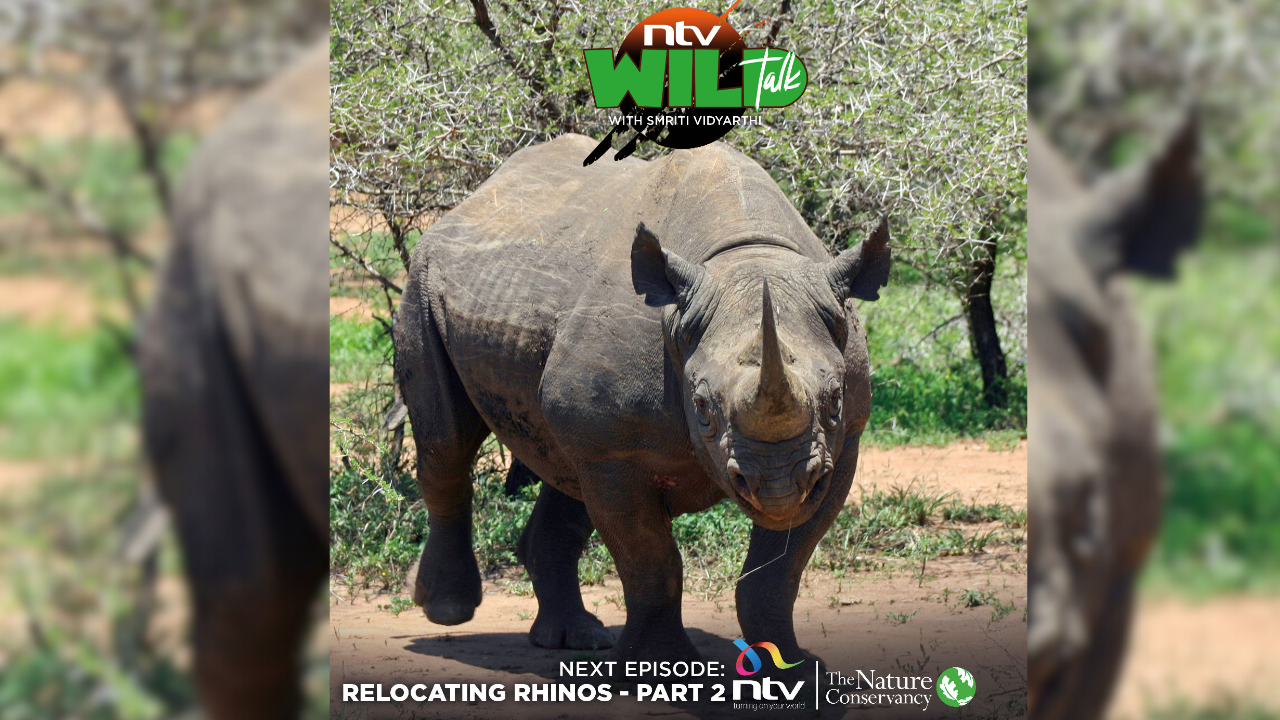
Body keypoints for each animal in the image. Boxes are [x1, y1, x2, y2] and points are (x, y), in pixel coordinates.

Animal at [396, 134, 890, 664]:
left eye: (835, 400)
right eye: (702, 408)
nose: (777, 483)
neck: (745, 258)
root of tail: (471, 201)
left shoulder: (842, 444)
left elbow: (779, 571)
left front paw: (790, 667)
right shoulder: (616, 450)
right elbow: (650, 560)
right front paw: (662, 664)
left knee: (565, 470)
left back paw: (574, 639)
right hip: (423, 280)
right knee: (447, 444)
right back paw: (447, 610)